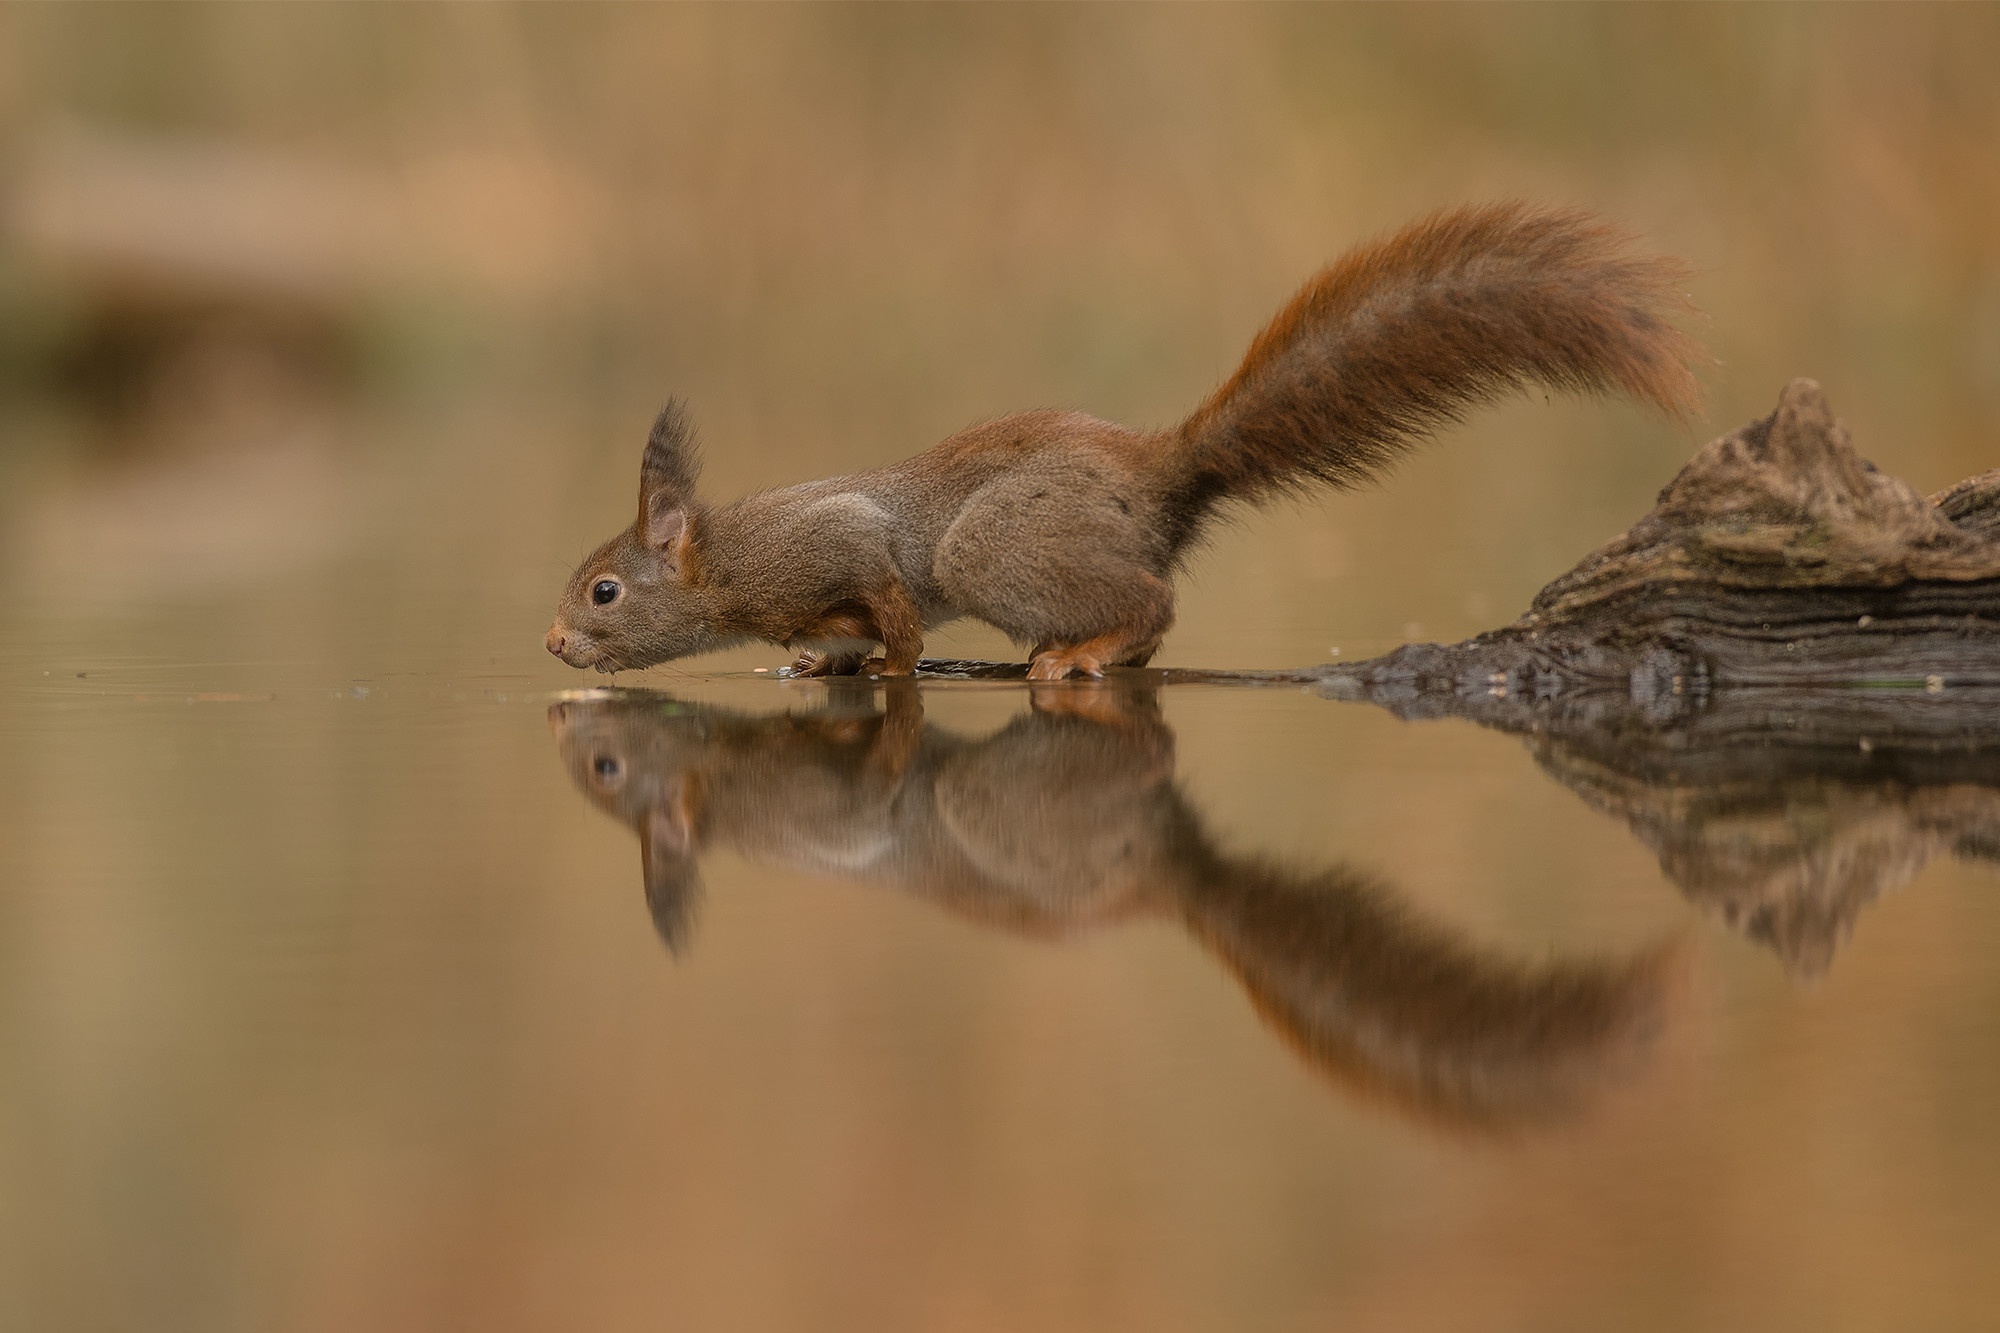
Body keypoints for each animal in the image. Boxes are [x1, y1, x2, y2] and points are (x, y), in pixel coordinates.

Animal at [546, 202, 1702, 680]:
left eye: (604, 590)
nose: (552, 645)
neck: (728, 568)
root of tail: (1156, 471)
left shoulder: (834, 542)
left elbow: (888, 604)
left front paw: (891, 664)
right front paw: (818, 662)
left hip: (995, 548)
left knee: (1152, 603)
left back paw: (1084, 653)